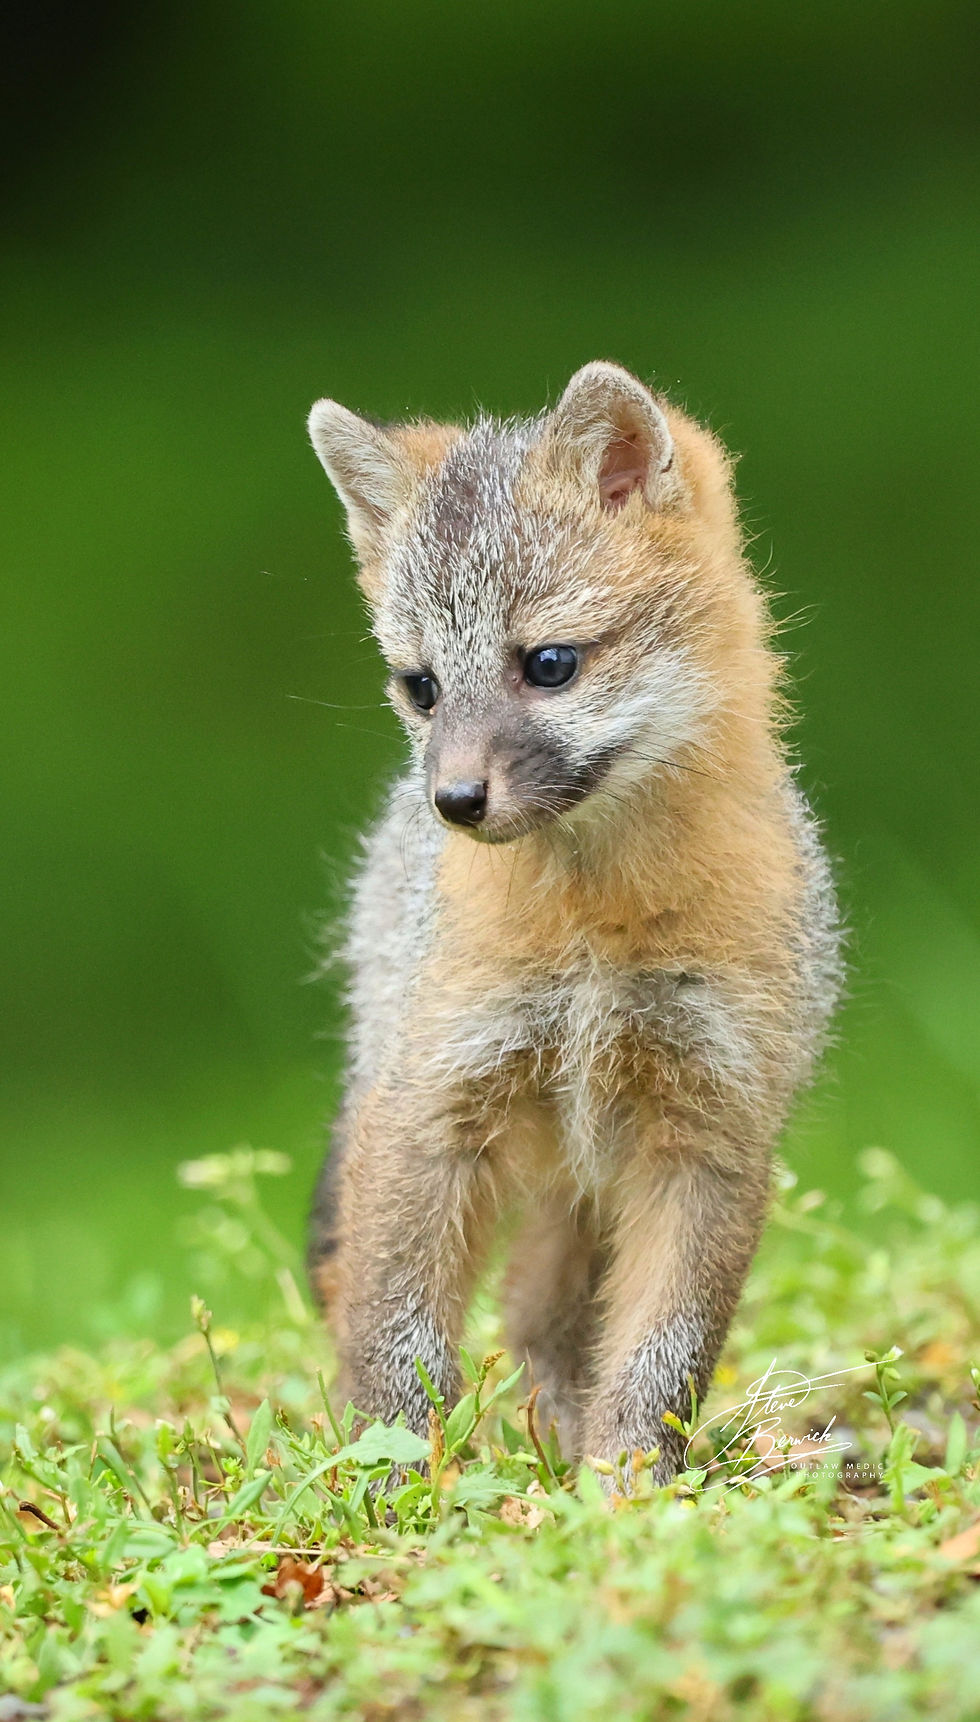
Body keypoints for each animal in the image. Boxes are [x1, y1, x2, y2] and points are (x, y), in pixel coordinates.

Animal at [304, 361, 841, 1486]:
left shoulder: (710, 1128)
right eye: (421, 687)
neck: (596, 936)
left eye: (547, 665)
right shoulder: (434, 1101)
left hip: (585, 1175)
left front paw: (626, 1488)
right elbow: (398, 1336)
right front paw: (398, 1478)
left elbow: (661, 1354)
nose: (454, 801)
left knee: (539, 1321)